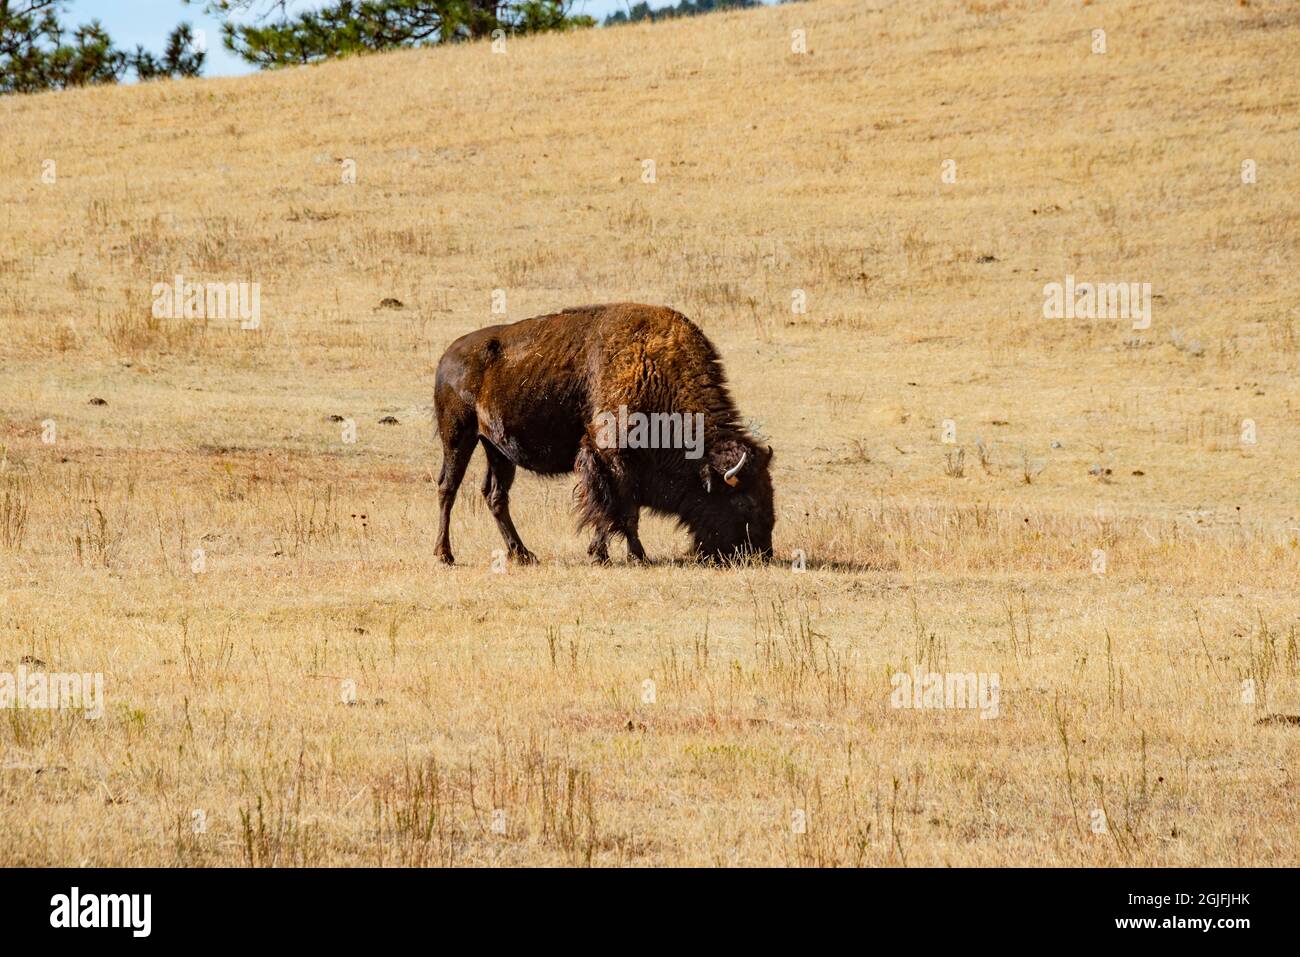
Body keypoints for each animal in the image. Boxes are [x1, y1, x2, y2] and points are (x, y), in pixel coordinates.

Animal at [433, 303, 774, 565]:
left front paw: (604, 553)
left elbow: (615, 509)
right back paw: (445, 555)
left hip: (496, 448)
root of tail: (447, 356)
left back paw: (523, 554)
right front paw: (632, 556)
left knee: (495, 495)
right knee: (448, 488)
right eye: (745, 502)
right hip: (458, 436)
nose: (762, 551)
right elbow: (619, 510)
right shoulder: (610, 458)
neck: (654, 371)